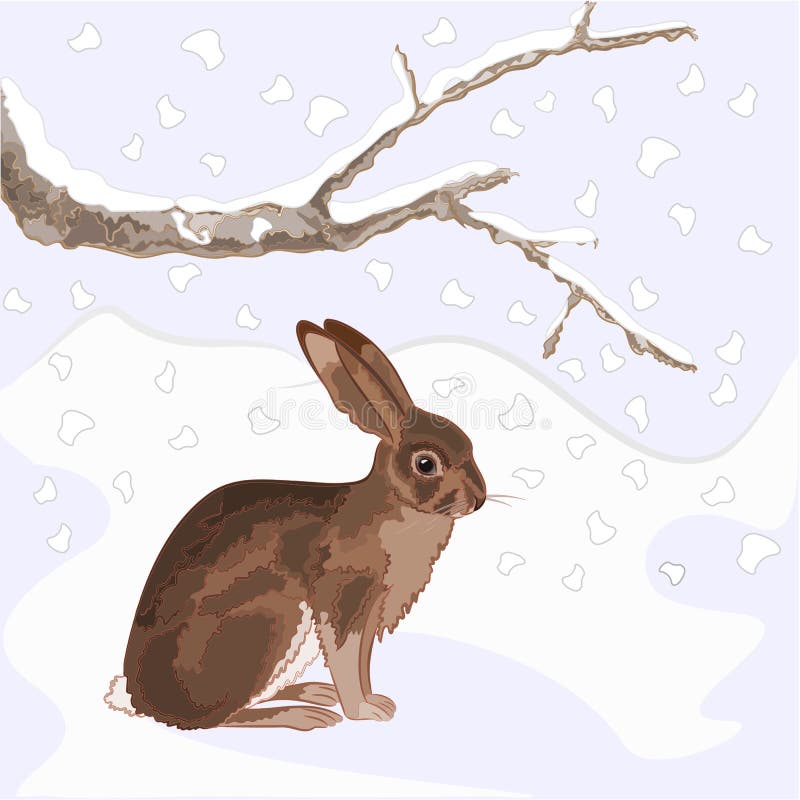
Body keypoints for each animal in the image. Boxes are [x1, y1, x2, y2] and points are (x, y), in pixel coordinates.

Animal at [115, 319, 486, 731]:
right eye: (426, 464)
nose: (479, 499)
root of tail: (140, 698)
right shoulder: (344, 597)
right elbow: (345, 660)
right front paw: (365, 712)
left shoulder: (370, 613)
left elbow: (361, 663)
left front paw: (375, 701)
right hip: (272, 621)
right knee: (222, 719)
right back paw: (302, 715)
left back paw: (312, 693)